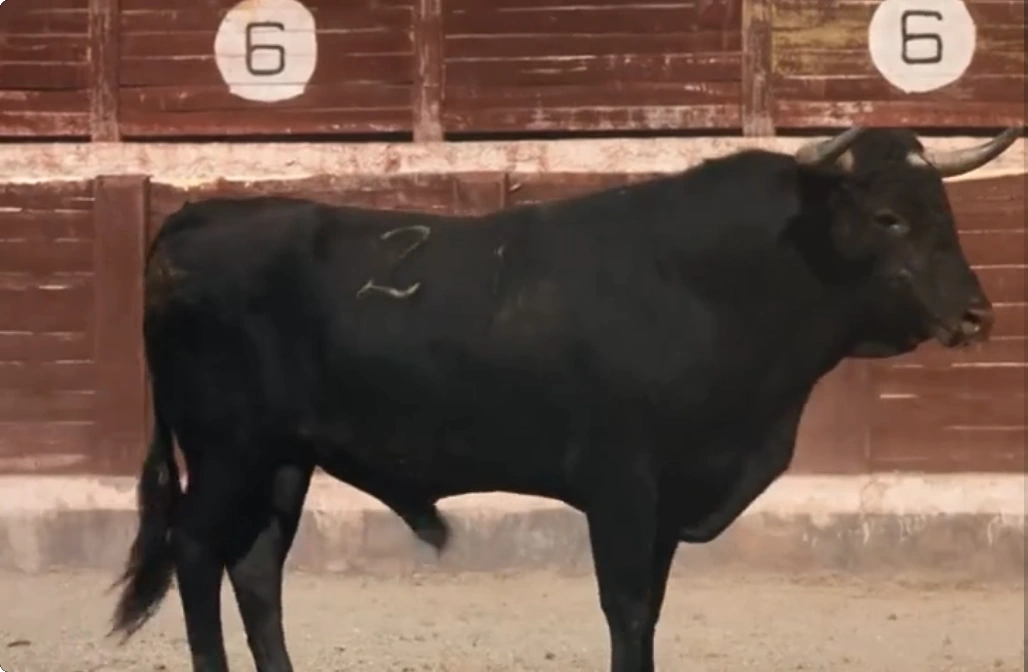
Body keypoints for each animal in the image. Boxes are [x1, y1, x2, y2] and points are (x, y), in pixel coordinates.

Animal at [109, 126, 1021, 672]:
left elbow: (649, 608)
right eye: (888, 217)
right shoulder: (622, 487)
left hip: (284, 461)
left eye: (944, 211)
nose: (977, 314)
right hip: (227, 451)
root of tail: (193, 220)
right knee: (197, 551)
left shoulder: (667, 501)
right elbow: (626, 609)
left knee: (257, 566)